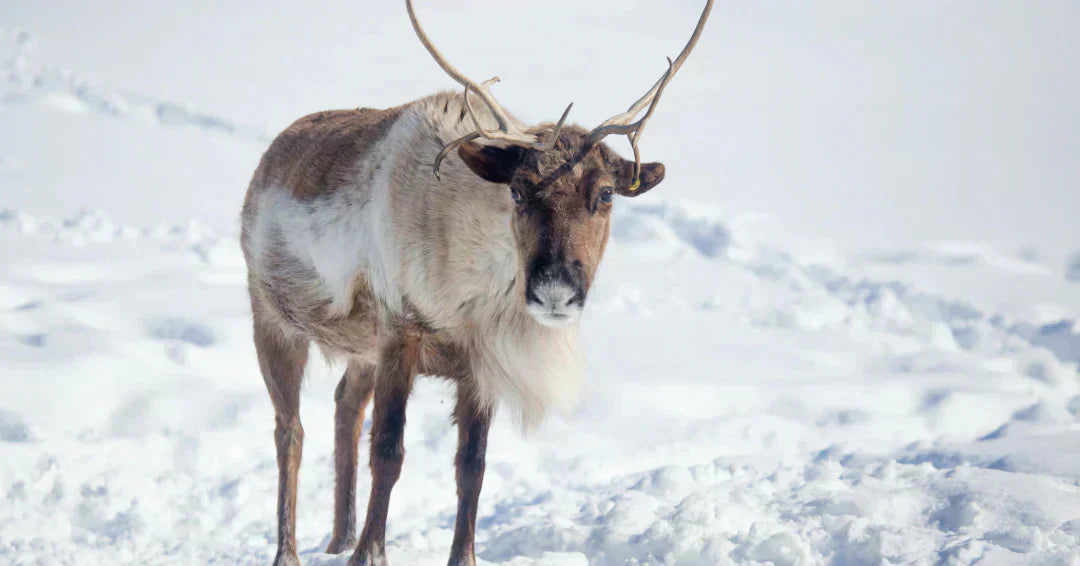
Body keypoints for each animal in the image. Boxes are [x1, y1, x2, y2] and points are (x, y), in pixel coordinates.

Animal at [240, 1, 713, 564]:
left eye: (604, 195)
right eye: (519, 190)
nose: (555, 290)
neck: (474, 293)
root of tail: (266, 162)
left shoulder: (479, 364)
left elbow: (473, 466)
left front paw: (459, 555)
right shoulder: (399, 333)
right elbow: (389, 452)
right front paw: (370, 554)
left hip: (358, 348)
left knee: (344, 408)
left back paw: (338, 540)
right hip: (272, 320)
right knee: (289, 432)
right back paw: (291, 550)